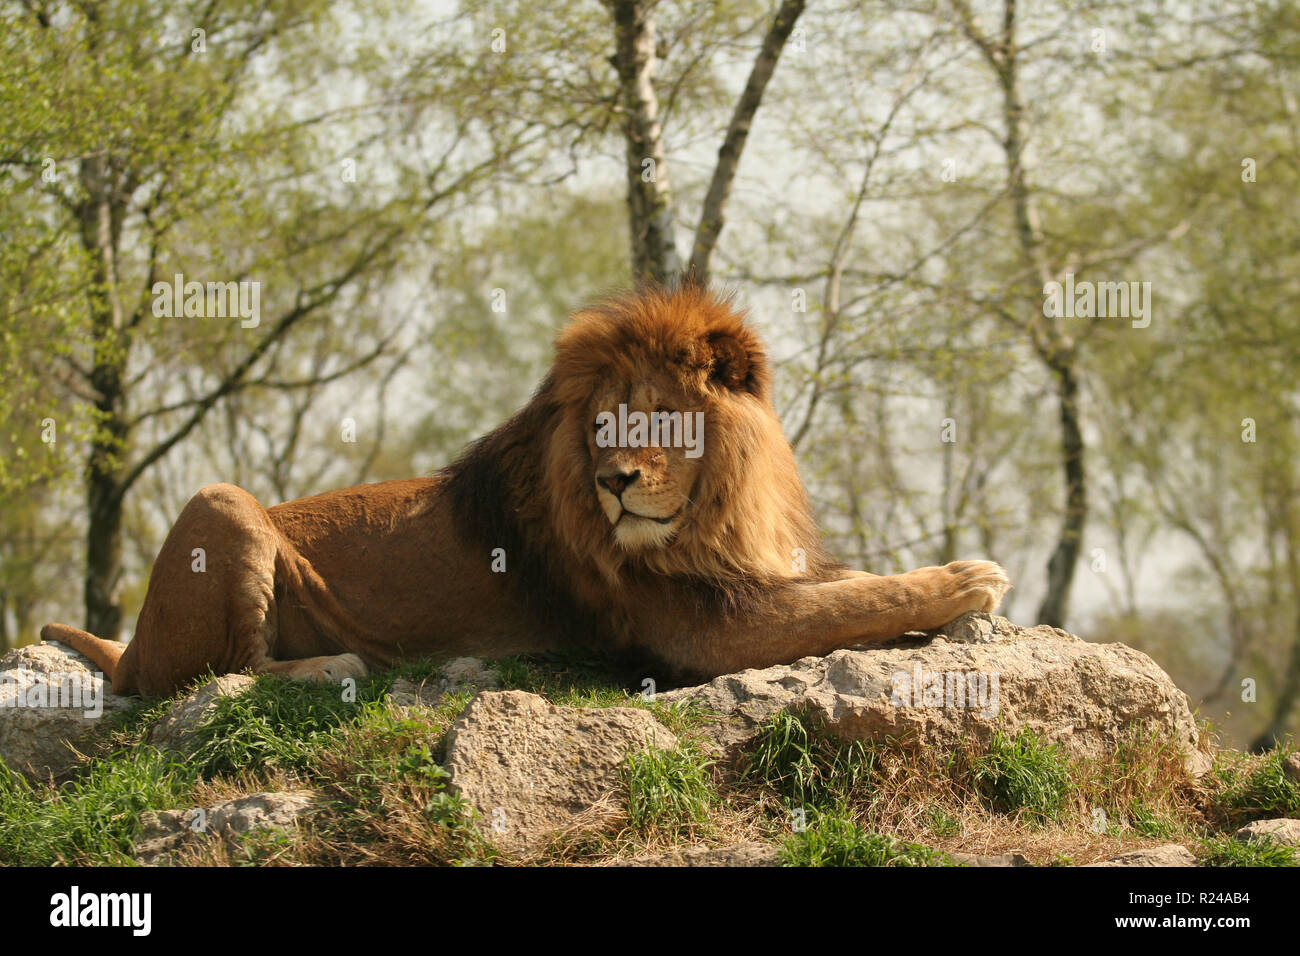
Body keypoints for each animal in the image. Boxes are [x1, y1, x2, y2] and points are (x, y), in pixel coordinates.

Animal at [44, 284, 1010, 698]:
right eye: (602, 428)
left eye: (662, 420)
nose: (614, 482)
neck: (720, 511)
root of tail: (129, 645)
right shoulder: (702, 629)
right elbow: (853, 604)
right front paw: (968, 578)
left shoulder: (754, 573)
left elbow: (847, 586)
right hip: (223, 502)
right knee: (216, 675)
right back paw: (330, 664)